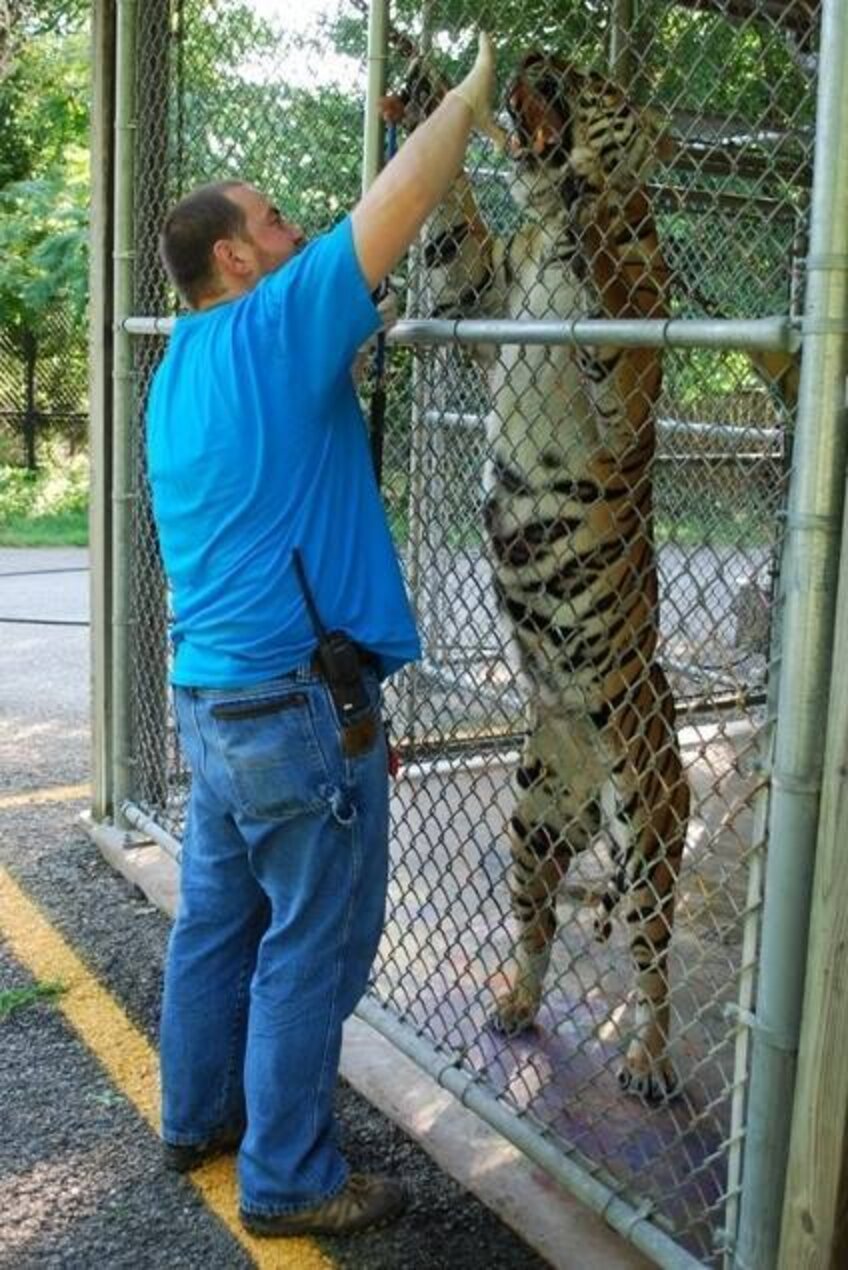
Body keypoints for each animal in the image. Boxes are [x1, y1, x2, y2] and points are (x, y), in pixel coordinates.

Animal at [382, 52, 691, 1102]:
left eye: (596, 81)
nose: (538, 62)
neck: (550, 226)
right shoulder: (473, 288)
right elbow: (451, 228)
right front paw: (418, 87)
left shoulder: (631, 379)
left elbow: (613, 313)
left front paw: (595, 209)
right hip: (531, 817)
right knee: (541, 924)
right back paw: (515, 1003)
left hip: (647, 836)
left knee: (653, 964)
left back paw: (647, 1059)